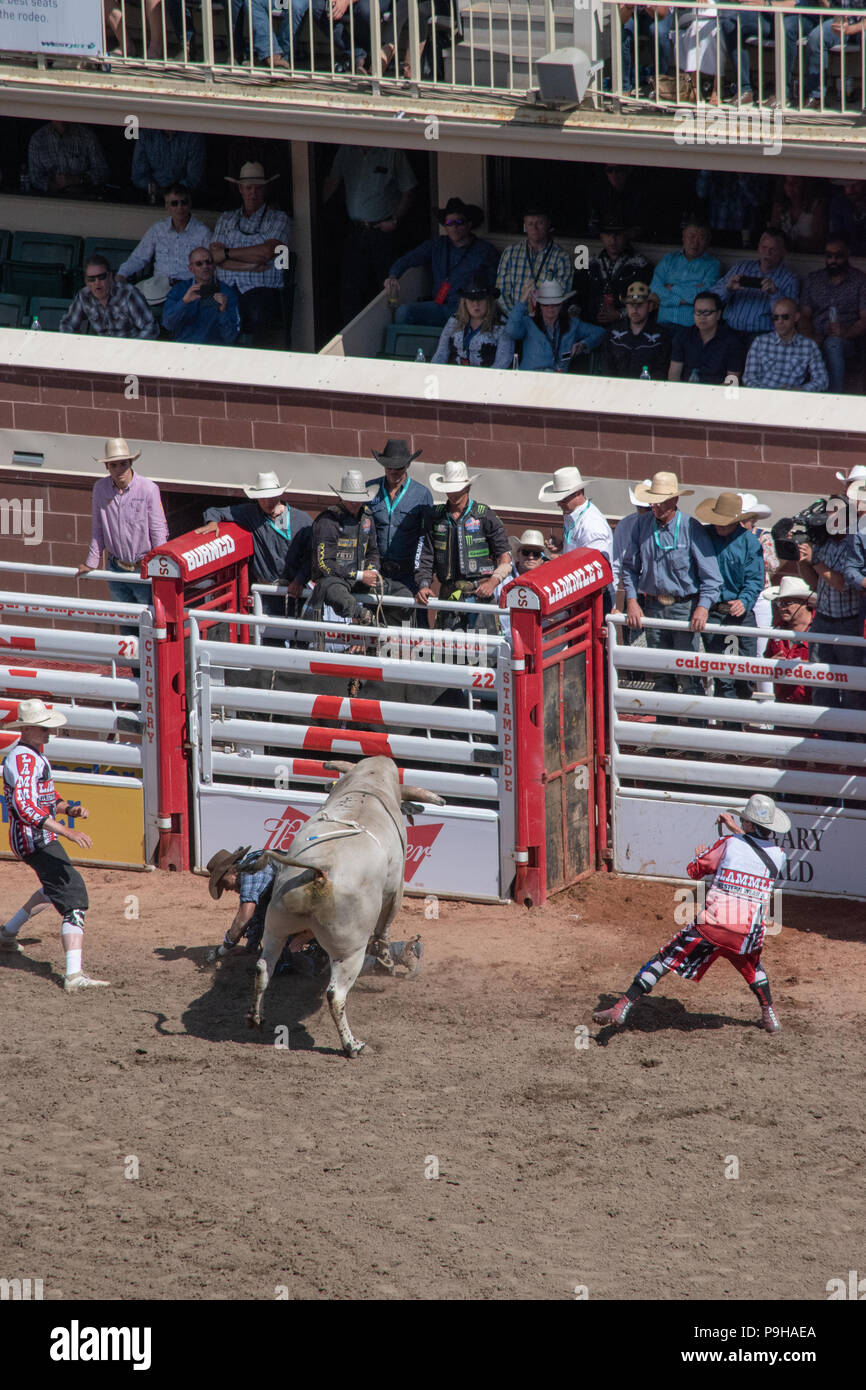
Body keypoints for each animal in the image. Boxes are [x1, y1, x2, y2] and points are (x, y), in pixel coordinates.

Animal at [245, 756, 445, 1056]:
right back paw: (352, 1044)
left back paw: (257, 1018)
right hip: (349, 951)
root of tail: (319, 872)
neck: (368, 788)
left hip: (276, 926)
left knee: (262, 968)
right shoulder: (395, 890)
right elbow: (385, 925)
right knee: (335, 994)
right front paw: (386, 958)